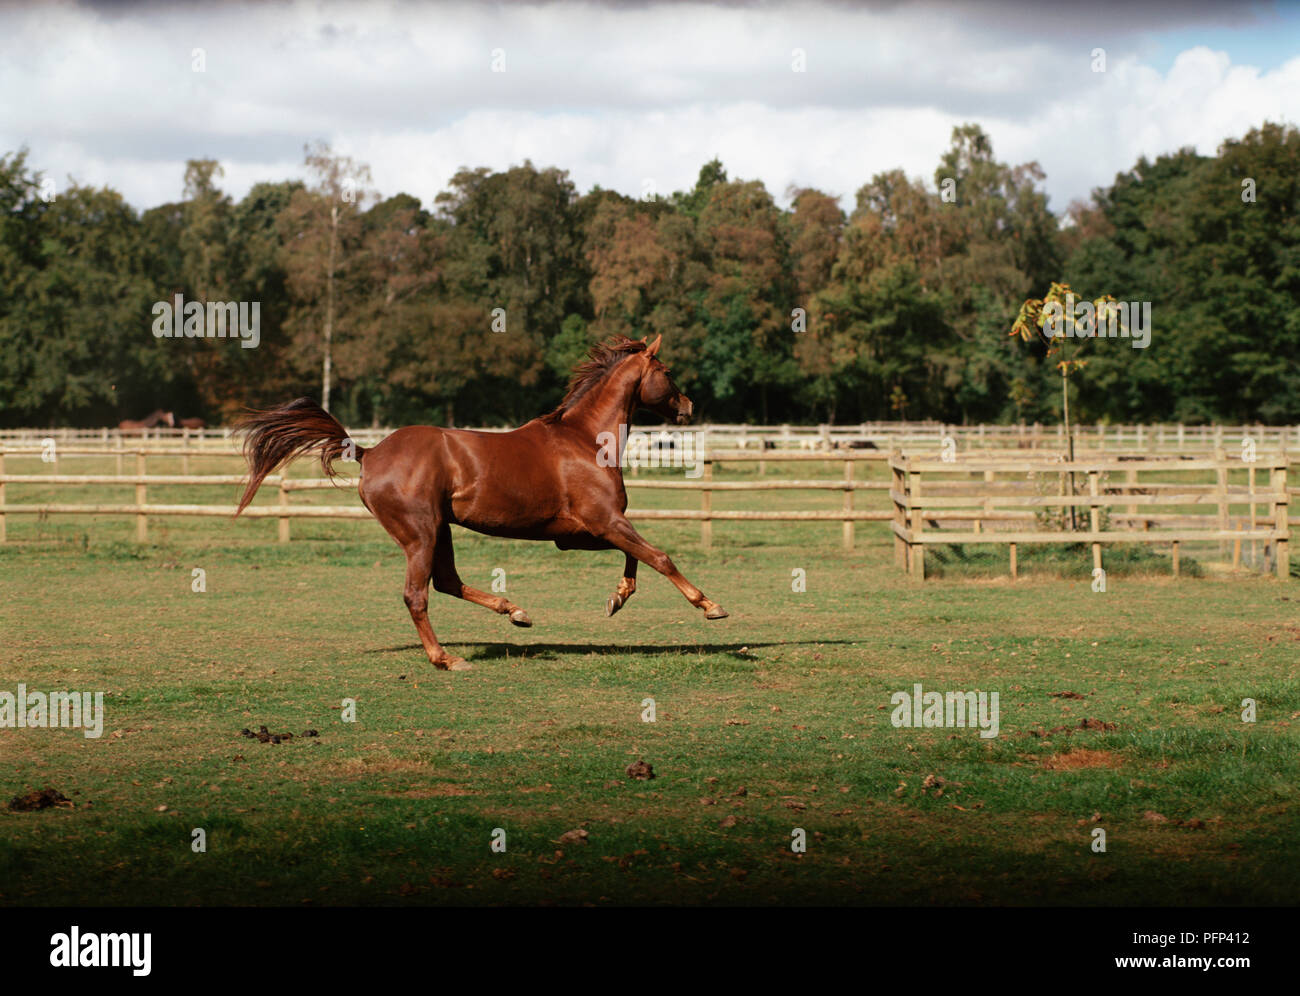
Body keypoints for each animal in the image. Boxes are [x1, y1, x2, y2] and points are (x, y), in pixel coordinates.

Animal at [234, 334, 728, 671]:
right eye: (667, 371)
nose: (689, 406)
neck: (585, 440)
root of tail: (369, 452)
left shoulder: (582, 532)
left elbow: (635, 558)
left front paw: (617, 599)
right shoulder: (604, 521)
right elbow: (658, 556)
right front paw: (710, 606)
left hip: (441, 530)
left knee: (447, 582)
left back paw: (516, 613)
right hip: (420, 534)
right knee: (417, 594)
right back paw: (446, 659)